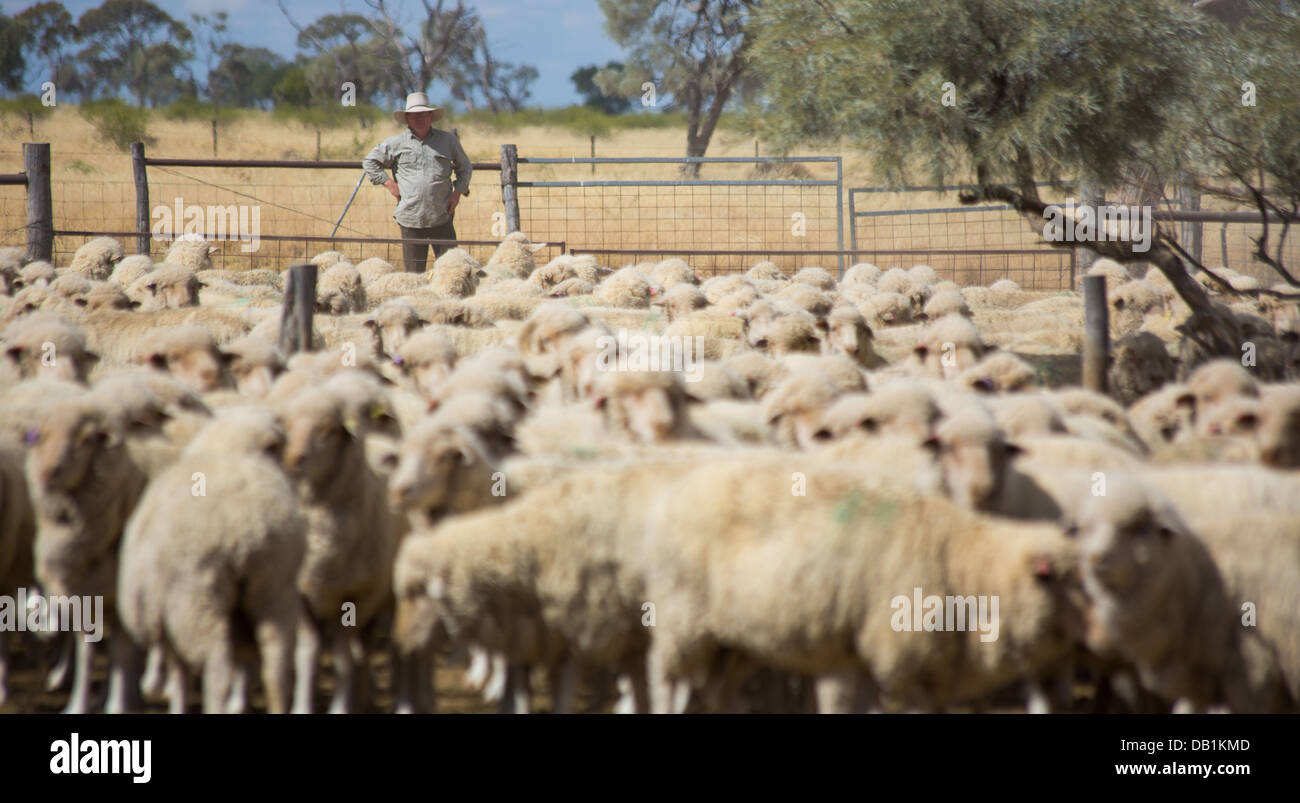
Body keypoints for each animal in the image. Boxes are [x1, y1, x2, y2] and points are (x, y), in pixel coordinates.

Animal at [117, 409, 305, 713]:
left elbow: (179, 671)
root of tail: (246, 529)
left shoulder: (168, 616)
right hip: (275, 587)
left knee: (218, 671)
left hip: (196, 599)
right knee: (277, 666)